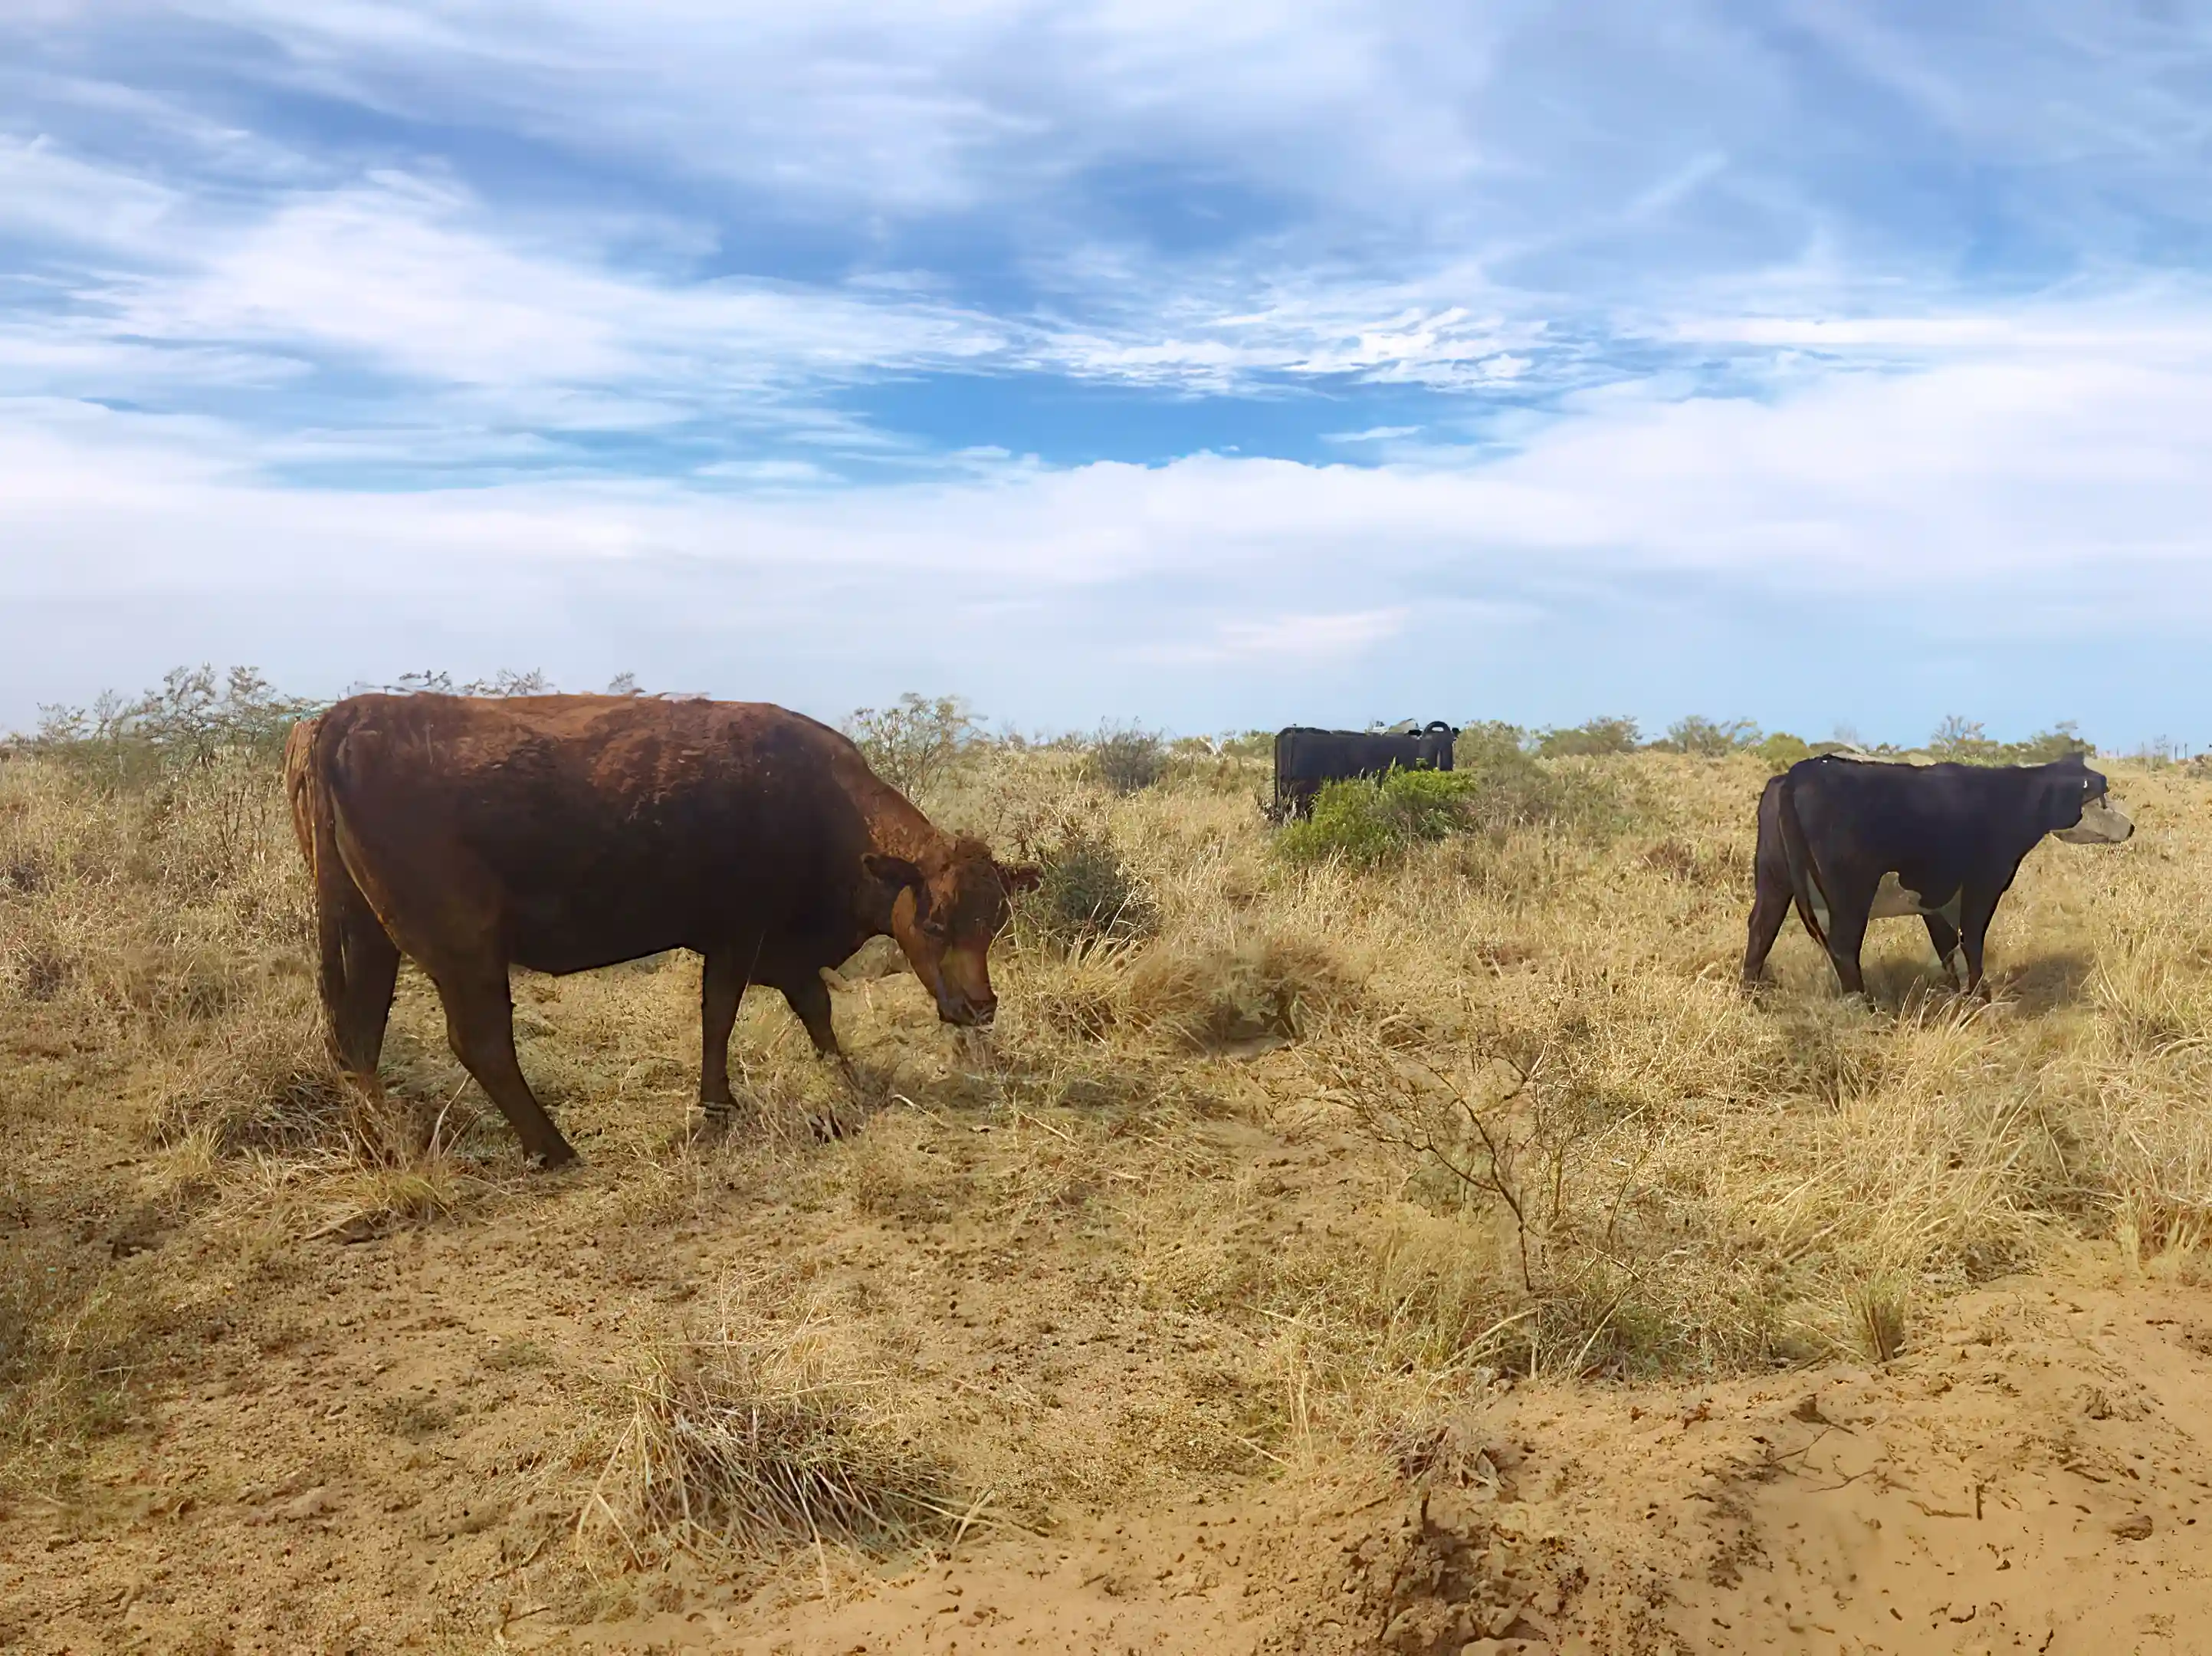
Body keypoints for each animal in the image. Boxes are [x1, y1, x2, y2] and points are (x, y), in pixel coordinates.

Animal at [285, 694, 1041, 1167]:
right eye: (935, 921)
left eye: (995, 920)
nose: (980, 1006)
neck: (812, 800)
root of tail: (342, 719)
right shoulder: (737, 938)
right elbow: (722, 1017)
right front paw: (719, 1105)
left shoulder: (779, 950)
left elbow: (816, 1011)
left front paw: (846, 1076)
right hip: (464, 951)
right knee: (481, 1042)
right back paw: (555, 1149)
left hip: (366, 940)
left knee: (357, 1041)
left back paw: (384, 1148)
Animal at [1742, 752, 2132, 998]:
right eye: (2101, 798)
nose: (2130, 826)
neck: (2007, 799)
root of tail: (1799, 773)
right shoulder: (1982, 885)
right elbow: (1971, 941)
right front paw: (1979, 998)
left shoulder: (1935, 897)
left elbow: (1947, 947)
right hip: (1849, 895)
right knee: (1843, 946)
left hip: (1774, 881)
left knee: (1761, 930)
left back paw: (1751, 997)